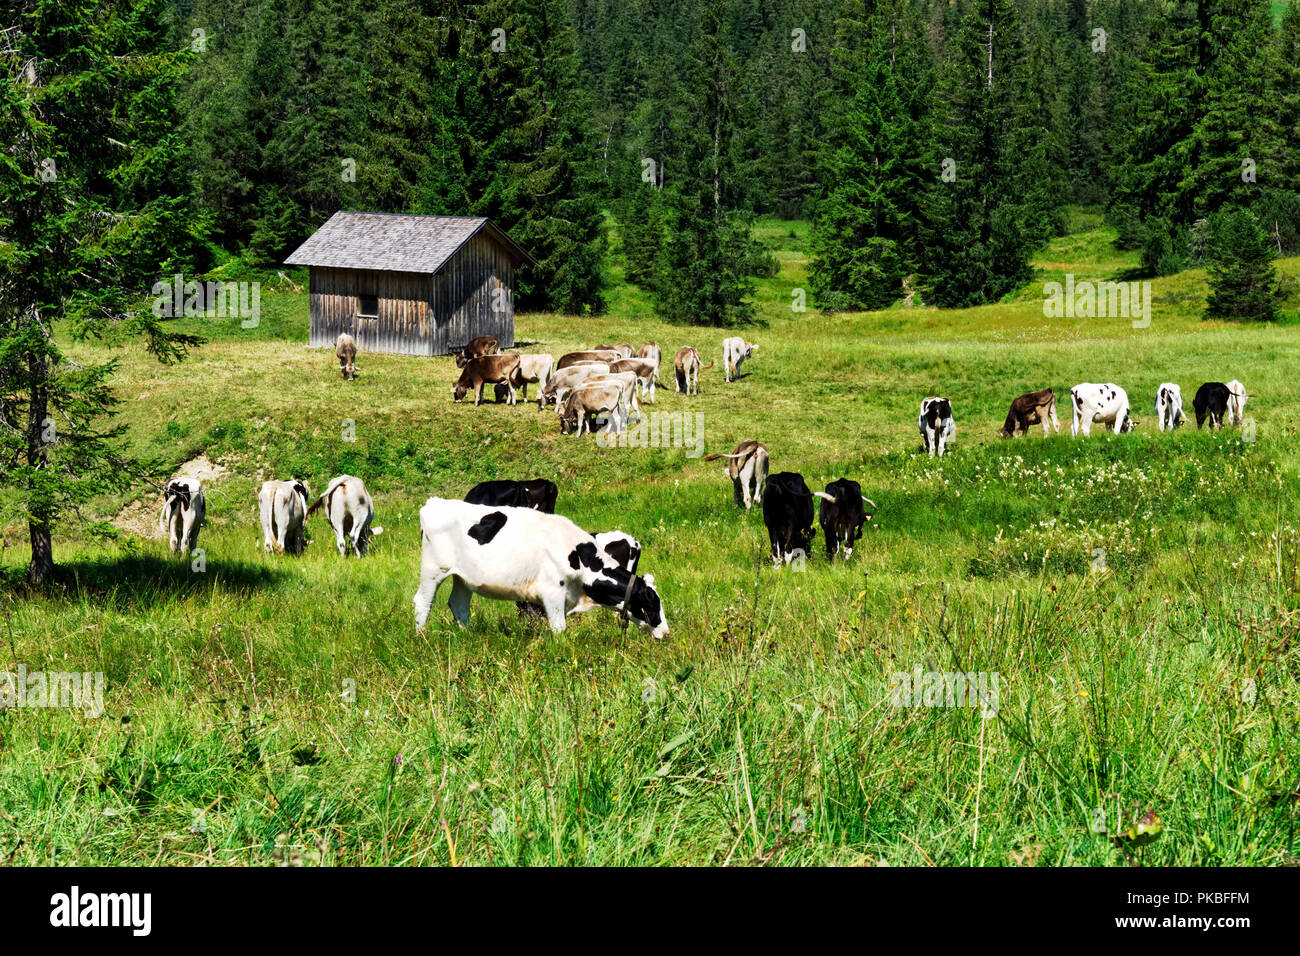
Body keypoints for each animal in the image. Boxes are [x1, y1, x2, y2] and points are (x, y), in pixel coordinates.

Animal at [412, 498, 669, 638]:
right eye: (651, 604)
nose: (666, 633)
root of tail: (435, 502)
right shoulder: (552, 592)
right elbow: (559, 629)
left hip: (463, 577)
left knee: (459, 605)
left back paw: (467, 635)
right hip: (433, 570)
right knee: (422, 602)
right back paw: (421, 637)